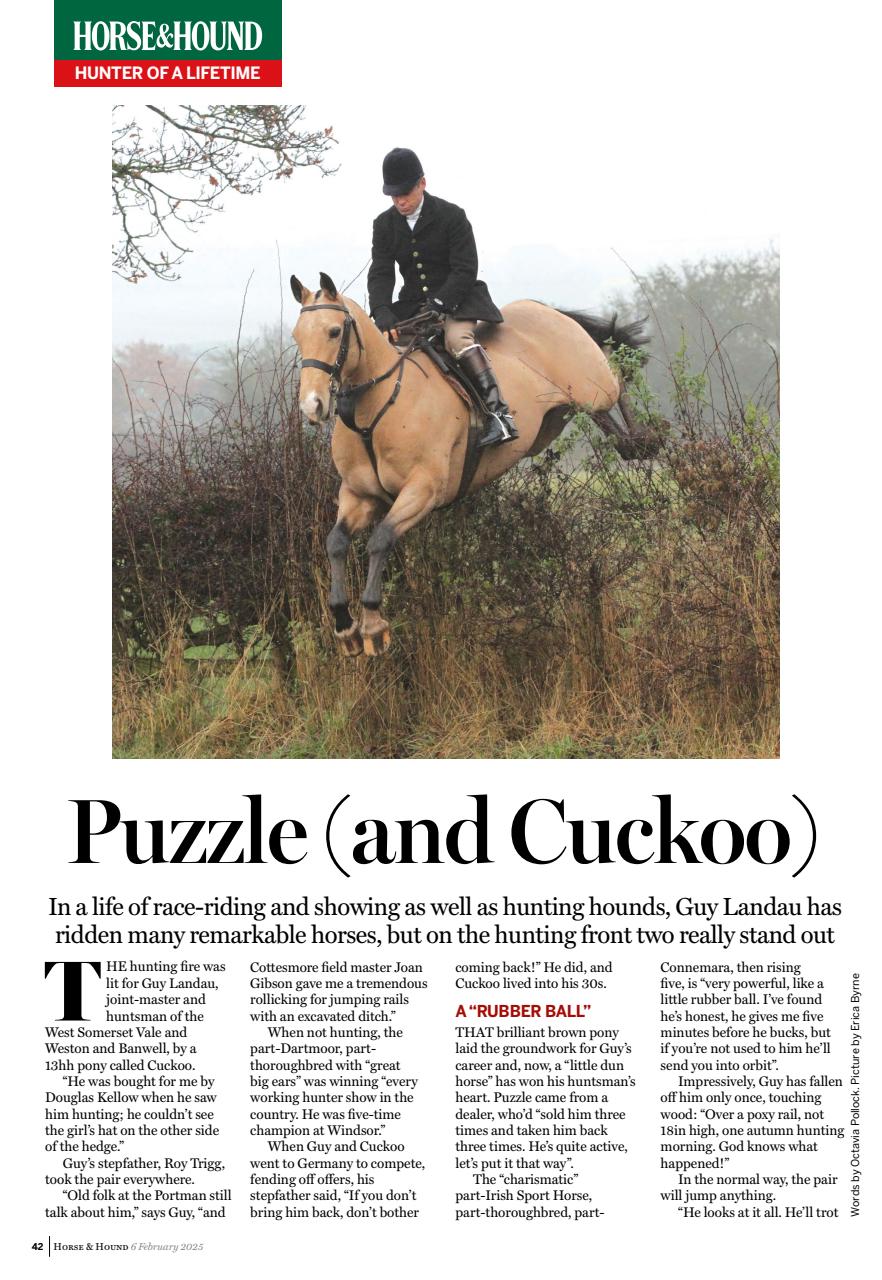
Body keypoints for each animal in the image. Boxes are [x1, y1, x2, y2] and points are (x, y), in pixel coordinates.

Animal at [290, 271, 647, 656]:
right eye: (297, 336)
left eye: (333, 332)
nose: (312, 406)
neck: (375, 410)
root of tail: (542, 308)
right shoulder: (359, 495)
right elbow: (336, 542)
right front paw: (345, 625)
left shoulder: (423, 490)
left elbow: (380, 540)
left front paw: (373, 624)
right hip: (560, 416)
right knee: (605, 420)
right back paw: (632, 442)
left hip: (594, 387)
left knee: (618, 374)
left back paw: (647, 438)